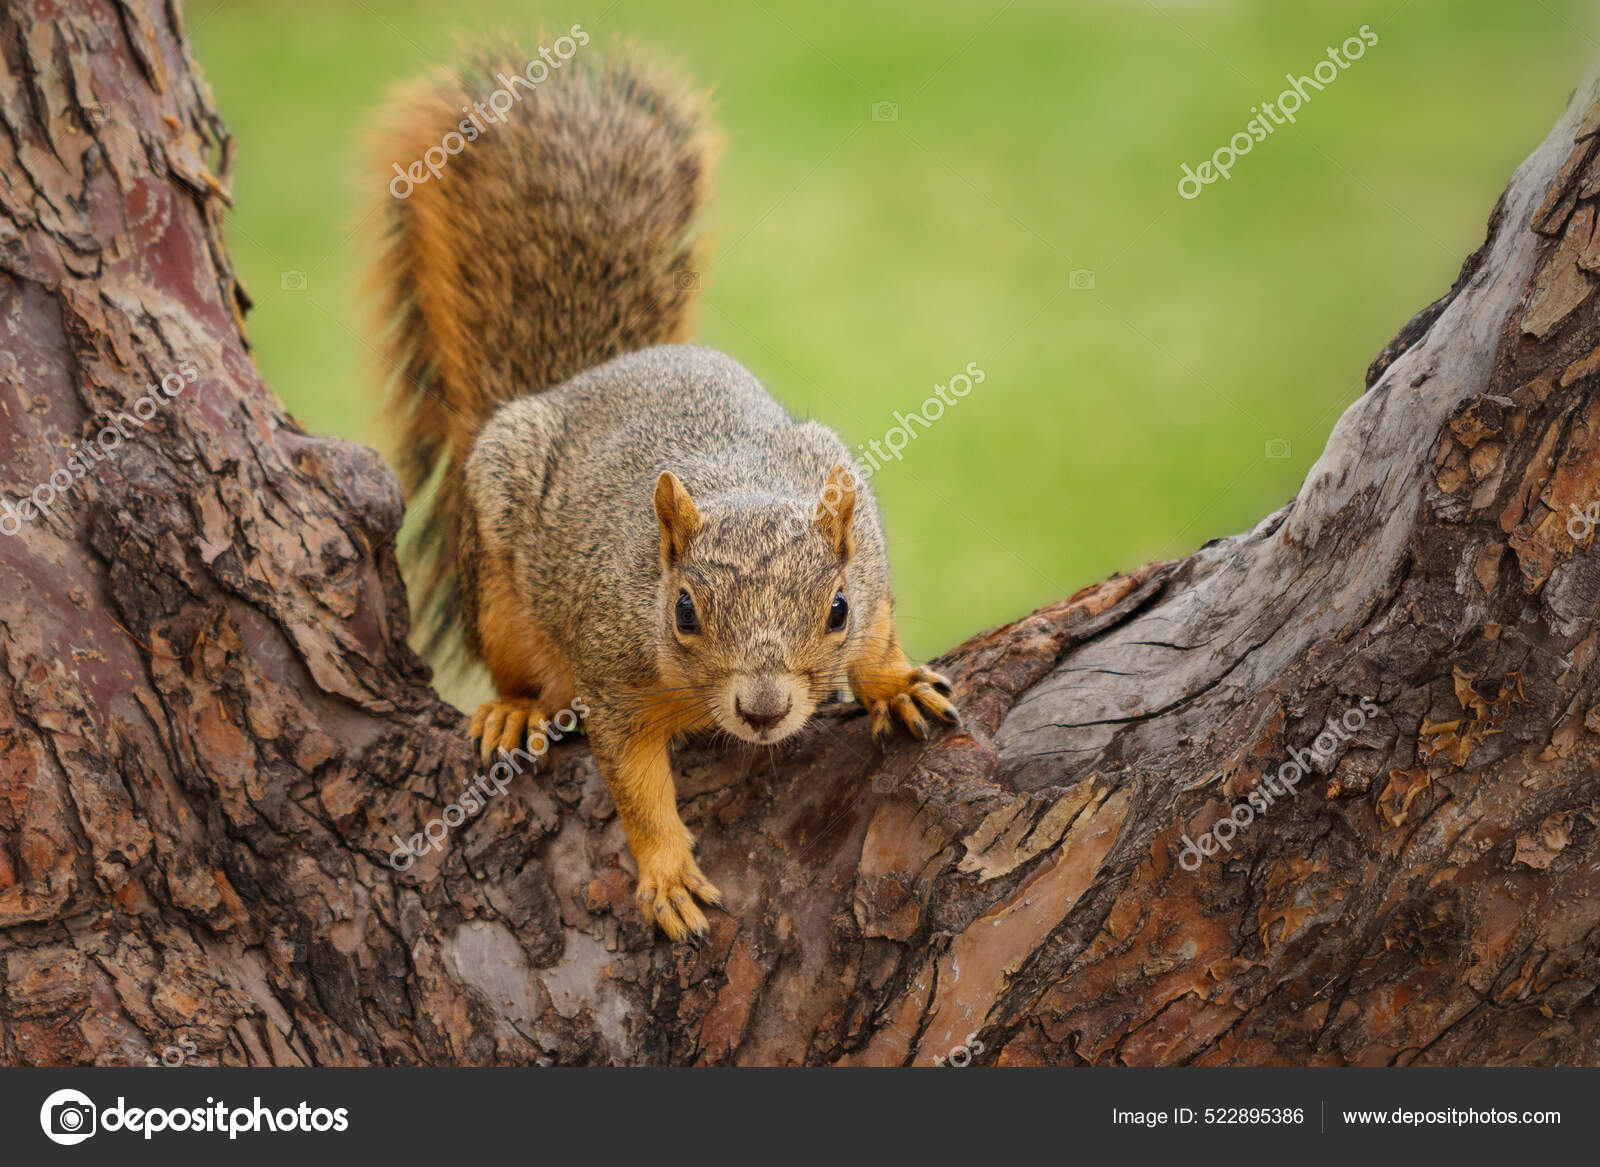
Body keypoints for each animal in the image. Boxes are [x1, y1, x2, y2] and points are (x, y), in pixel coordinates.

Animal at [368, 41, 959, 940]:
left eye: (836, 610)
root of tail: (584, 378)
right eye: (683, 611)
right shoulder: (614, 676)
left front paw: (897, 685)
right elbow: (636, 784)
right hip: (501, 586)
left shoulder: (868, 556)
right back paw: (516, 710)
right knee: (513, 663)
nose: (763, 709)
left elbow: (883, 634)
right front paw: (667, 872)